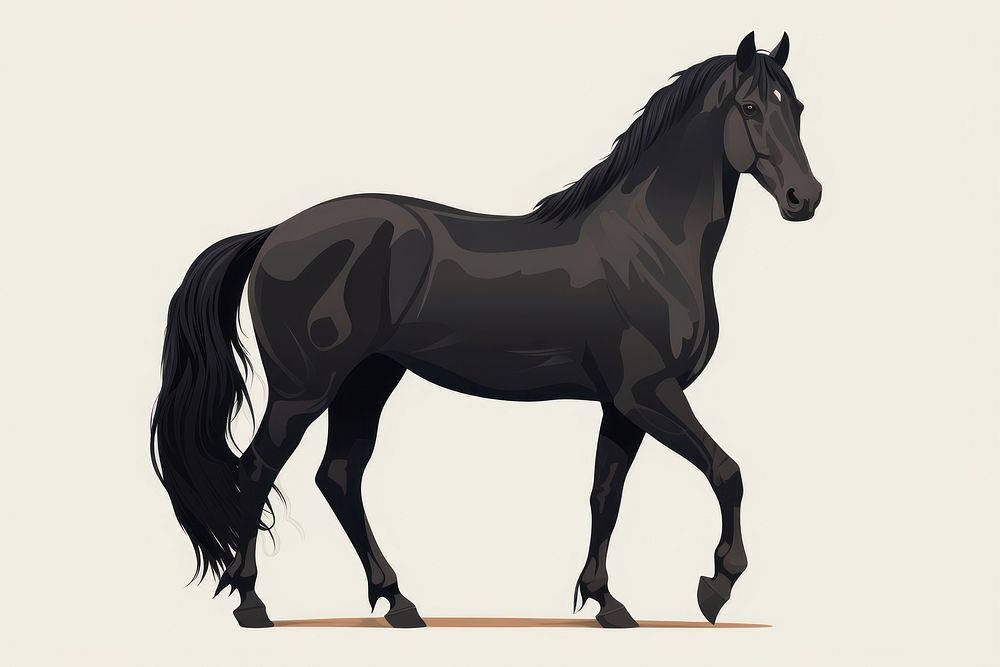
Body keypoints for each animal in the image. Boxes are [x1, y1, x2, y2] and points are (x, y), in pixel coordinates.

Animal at [150, 30, 822, 629]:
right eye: (751, 107)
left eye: (797, 108)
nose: (804, 197)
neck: (645, 241)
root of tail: (272, 234)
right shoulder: (648, 393)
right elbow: (727, 472)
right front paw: (717, 586)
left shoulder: (622, 405)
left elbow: (605, 496)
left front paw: (606, 603)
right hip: (303, 390)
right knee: (256, 472)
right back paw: (252, 604)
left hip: (368, 380)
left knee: (337, 475)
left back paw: (397, 601)